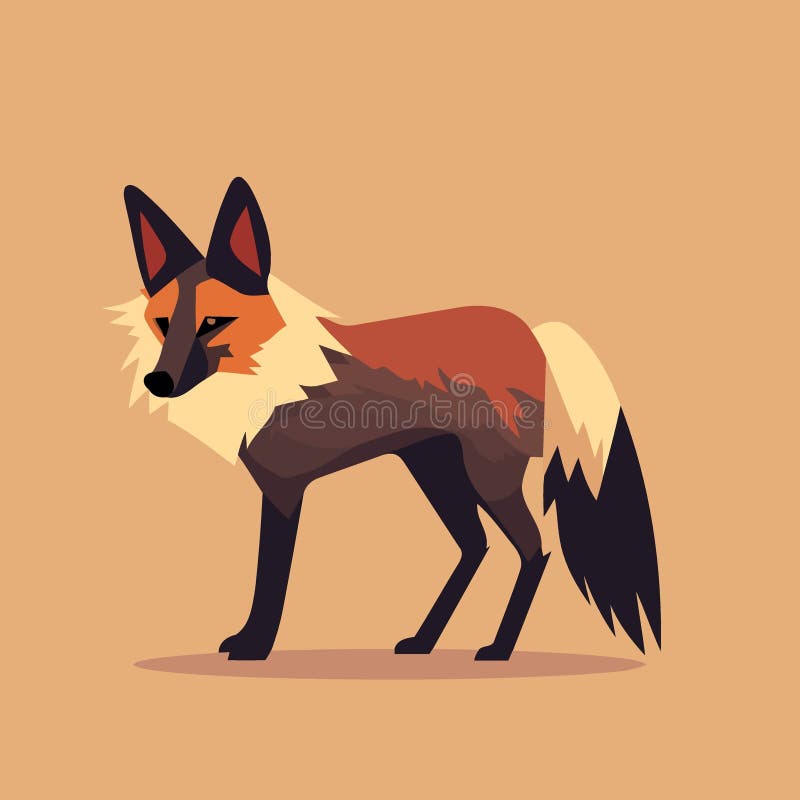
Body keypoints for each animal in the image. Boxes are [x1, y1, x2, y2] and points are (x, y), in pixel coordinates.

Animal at [111, 177, 661, 660]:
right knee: (475, 547)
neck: (265, 371)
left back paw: (499, 649)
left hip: (489, 478)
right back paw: (424, 641)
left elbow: (270, 578)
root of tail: (531, 329)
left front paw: (255, 646)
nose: (159, 381)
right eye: (164, 323)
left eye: (212, 323)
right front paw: (249, 639)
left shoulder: (285, 490)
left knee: (534, 550)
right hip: (436, 472)